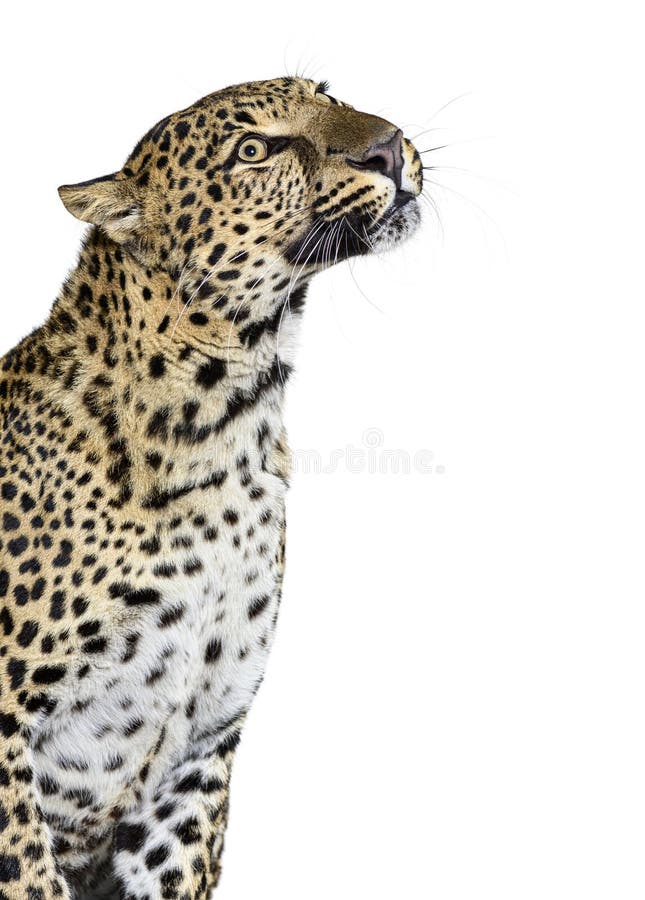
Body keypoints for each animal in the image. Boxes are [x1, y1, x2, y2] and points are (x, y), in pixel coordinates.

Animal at [0, 76, 423, 899]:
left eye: (328, 93)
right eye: (254, 150)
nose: (389, 146)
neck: (230, 417)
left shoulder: (201, 749)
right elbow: (25, 870)